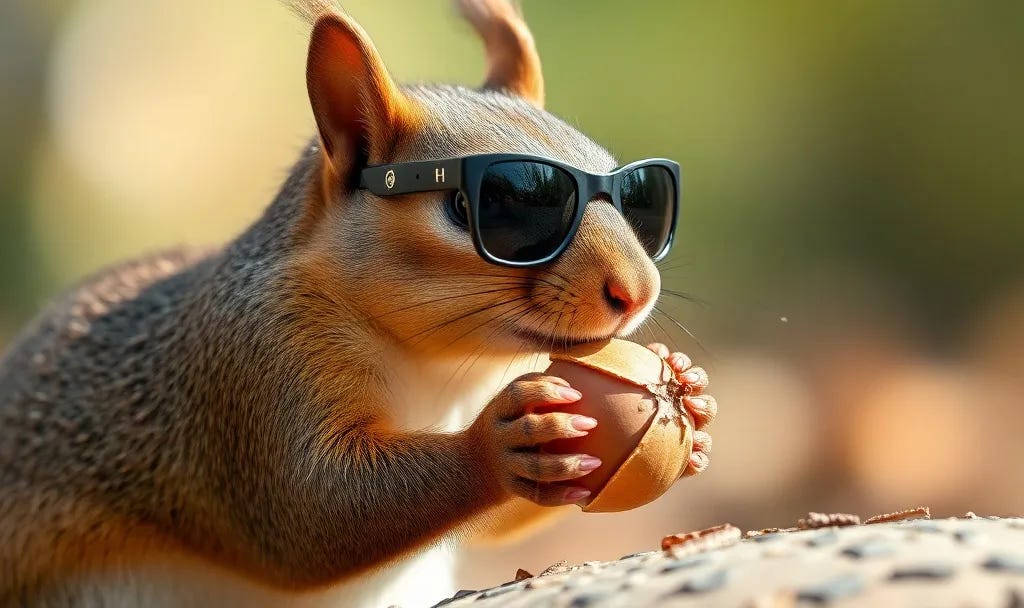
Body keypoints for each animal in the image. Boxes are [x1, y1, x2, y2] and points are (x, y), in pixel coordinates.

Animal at [0, 0, 717, 606]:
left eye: (640, 196)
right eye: (492, 206)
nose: (638, 291)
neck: (440, 367)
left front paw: (693, 394)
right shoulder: (253, 364)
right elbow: (309, 511)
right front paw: (503, 444)